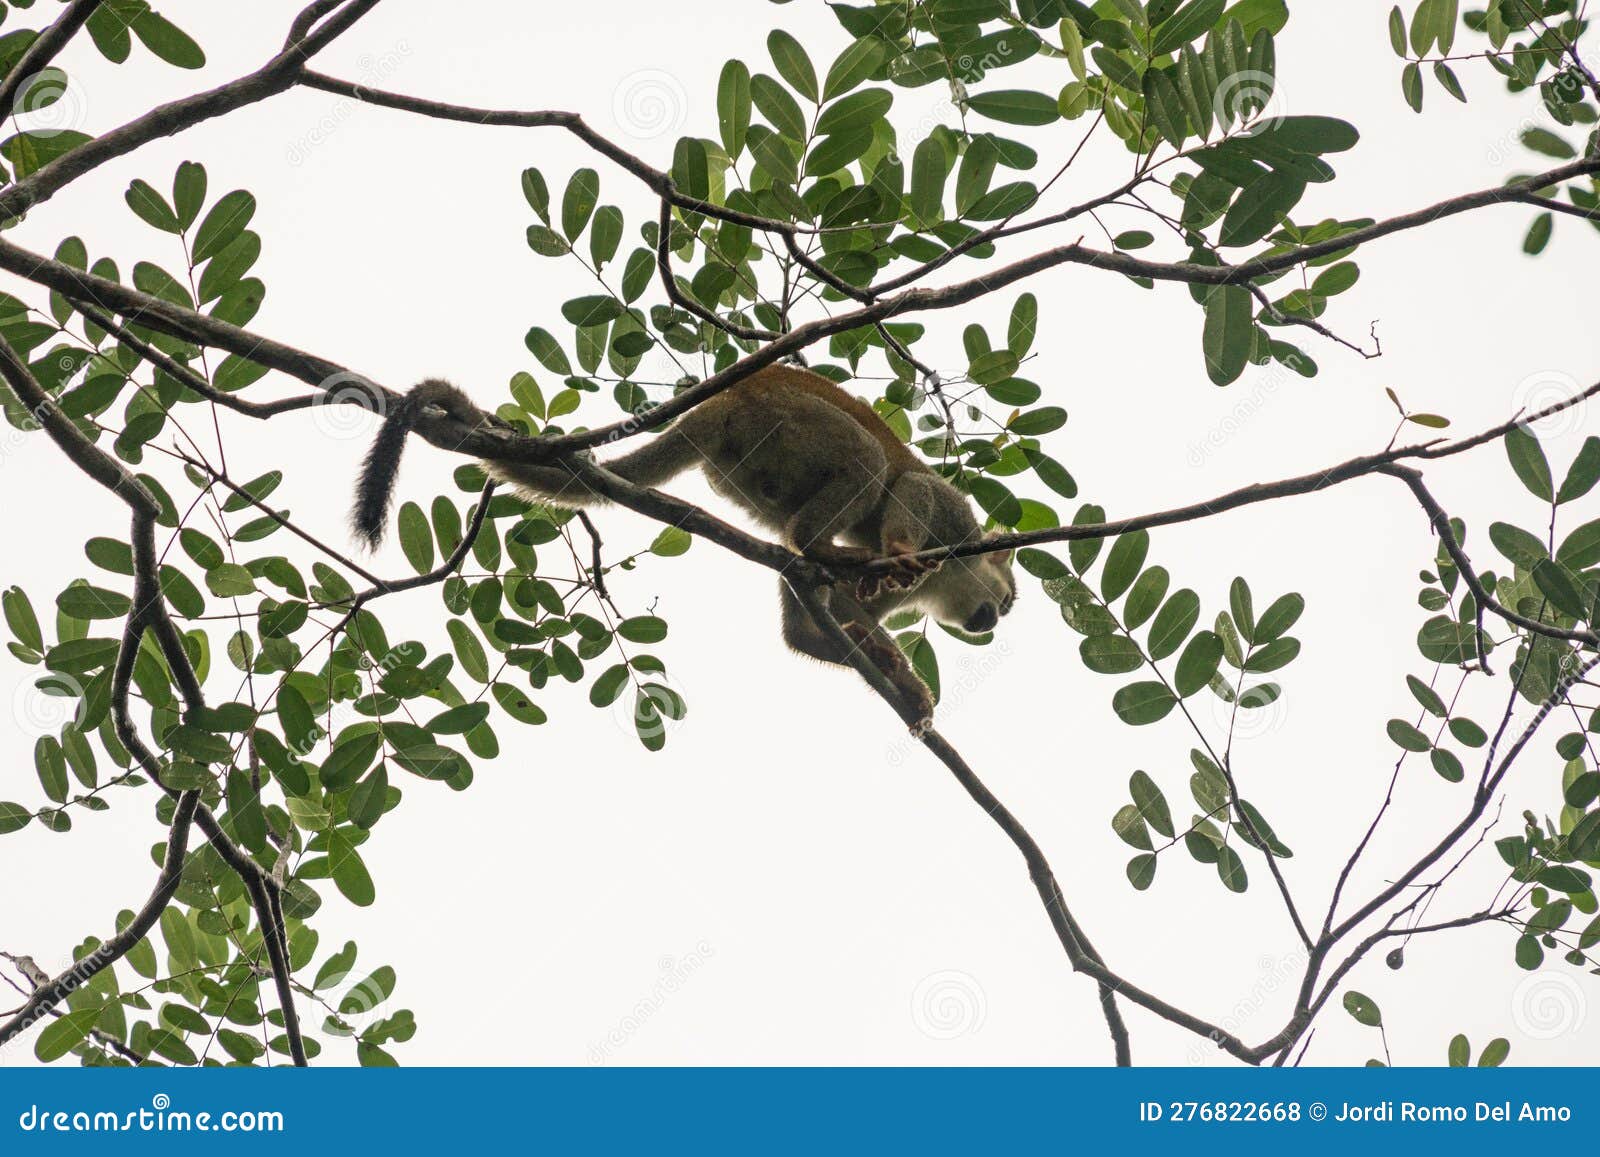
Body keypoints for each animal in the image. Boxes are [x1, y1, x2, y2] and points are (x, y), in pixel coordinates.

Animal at [351, 366, 1017, 723]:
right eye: (1008, 602)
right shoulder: (952, 523)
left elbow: (837, 619)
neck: (945, 580)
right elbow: (912, 488)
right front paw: (898, 552)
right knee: (872, 461)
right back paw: (819, 544)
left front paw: (888, 670)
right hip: (788, 420)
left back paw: (810, 563)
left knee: (792, 556)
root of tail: (722, 400)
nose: (995, 620)